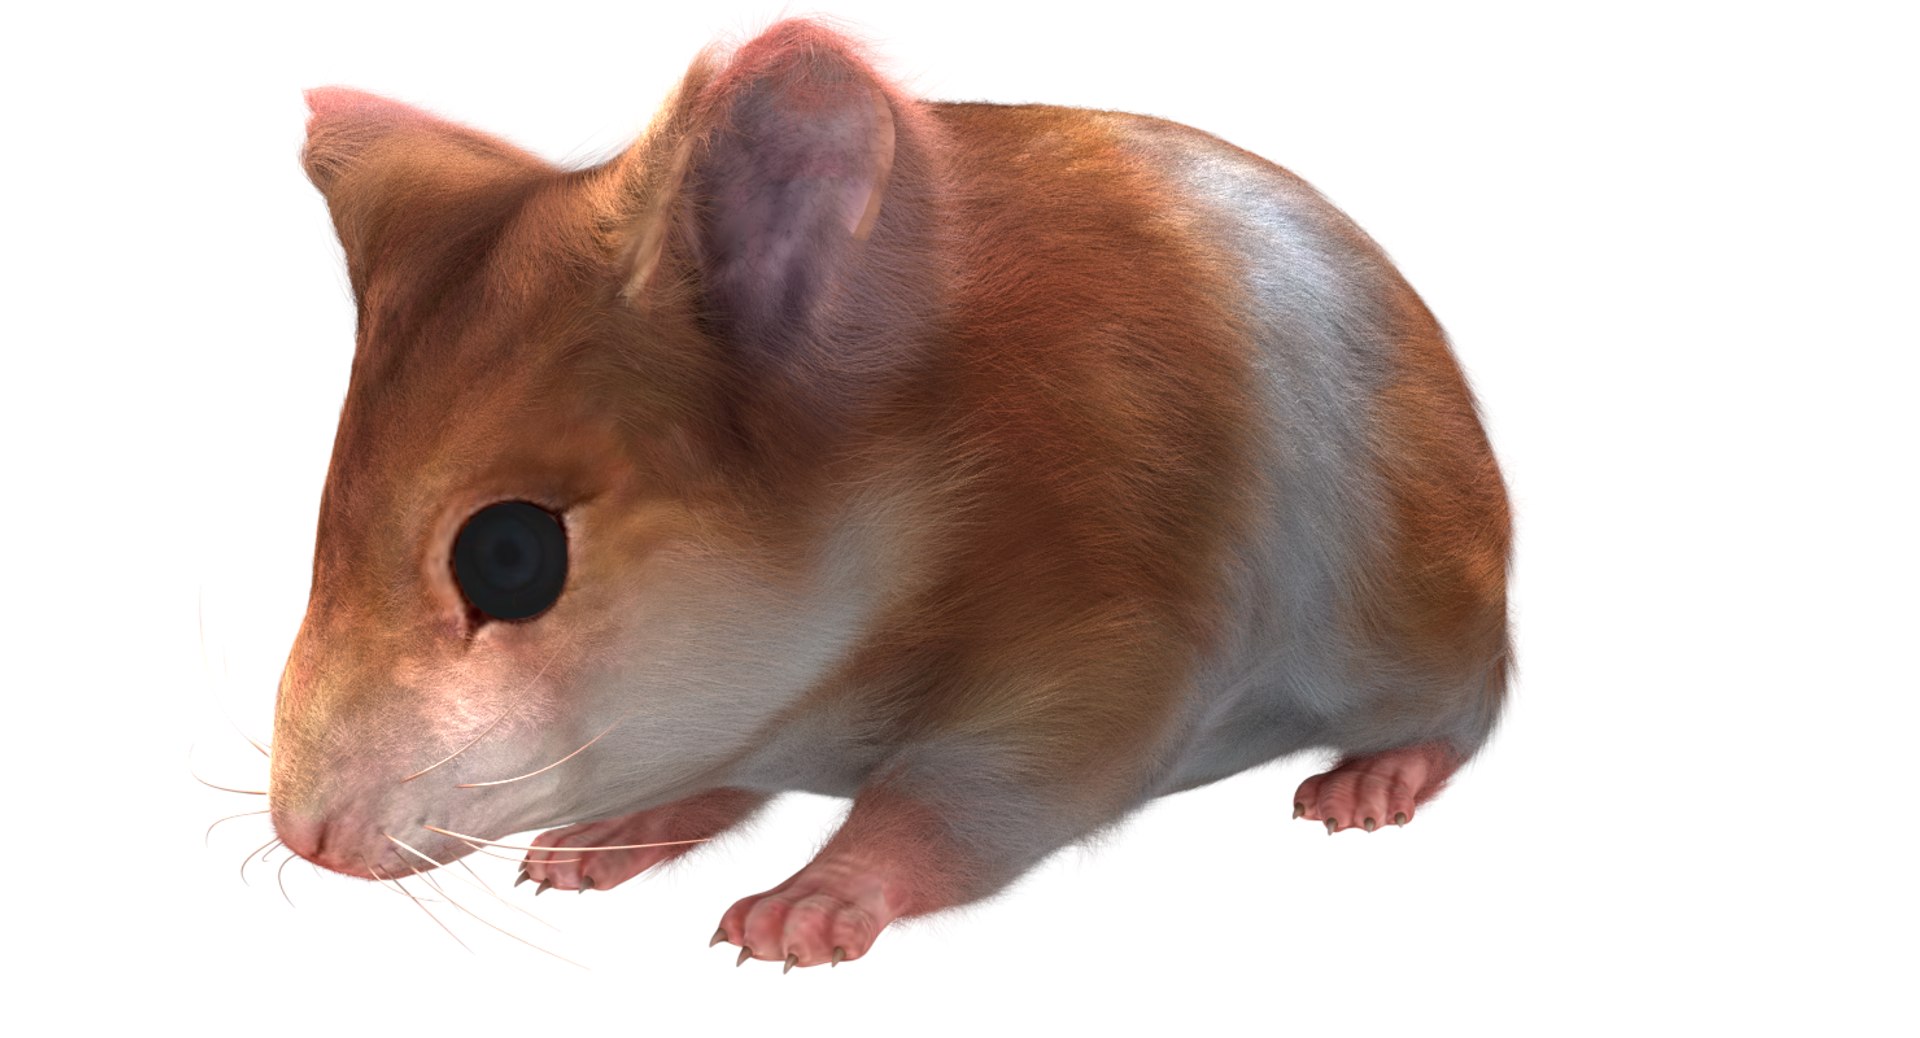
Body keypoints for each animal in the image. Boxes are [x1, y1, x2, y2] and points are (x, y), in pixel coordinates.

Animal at [271, 19, 1511, 970]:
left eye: (511, 557)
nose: (302, 839)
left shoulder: (1102, 648)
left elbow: (957, 803)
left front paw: (799, 915)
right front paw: (599, 839)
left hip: (1404, 631)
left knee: (1471, 707)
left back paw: (1372, 783)